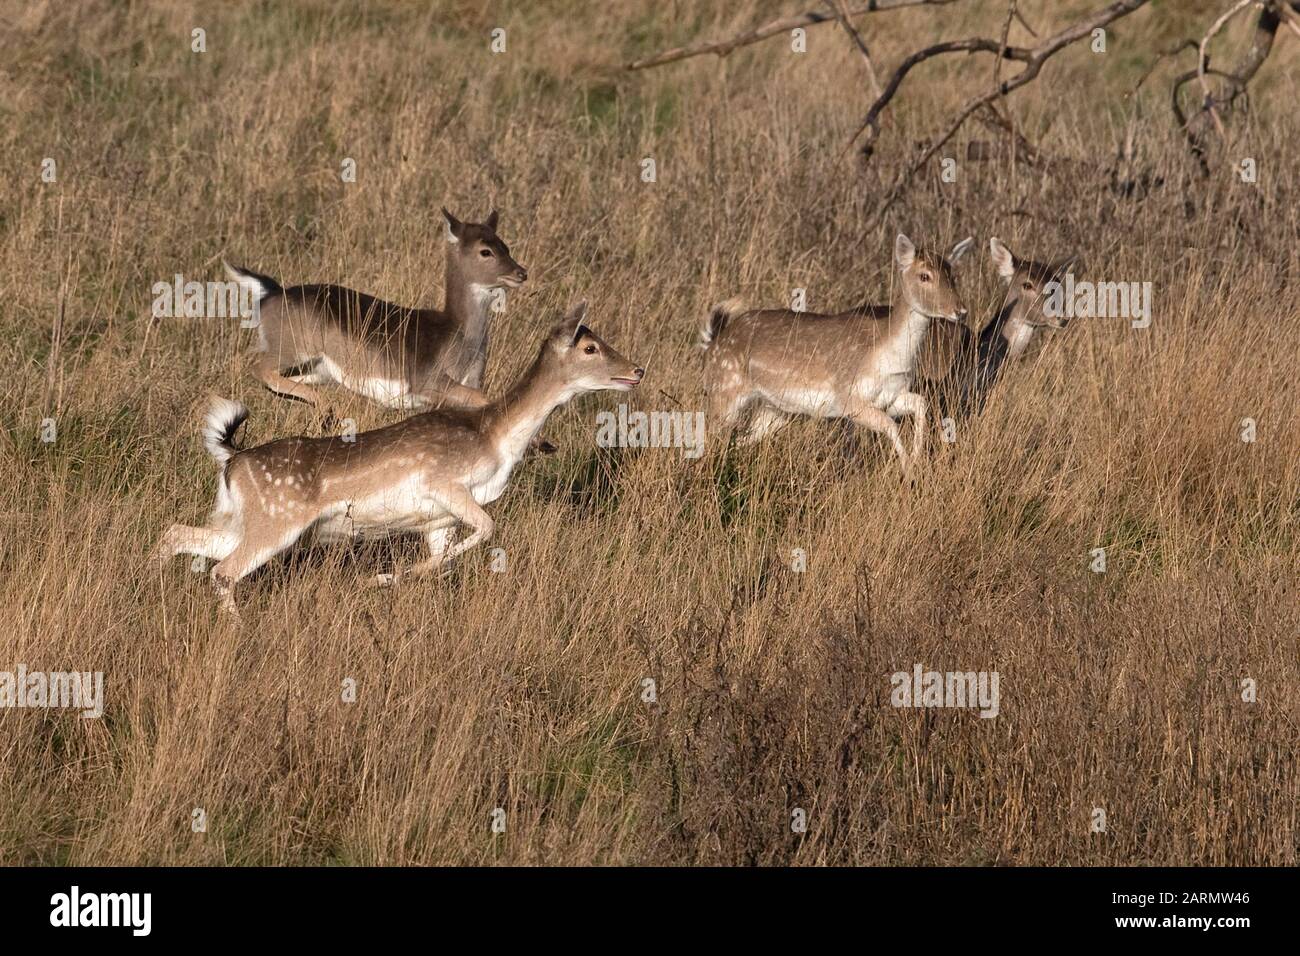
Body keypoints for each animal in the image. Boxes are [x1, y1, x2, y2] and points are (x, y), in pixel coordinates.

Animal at [154, 304, 644, 618]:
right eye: (590, 348)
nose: (637, 369)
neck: (495, 439)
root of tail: (232, 461)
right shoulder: (443, 482)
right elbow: (489, 526)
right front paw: (379, 579)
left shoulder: (437, 521)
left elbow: (447, 559)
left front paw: (385, 580)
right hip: (277, 521)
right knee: (223, 571)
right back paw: (236, 628)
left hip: (241, 521)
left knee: (177, 534)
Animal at [225, 208, 527, 418]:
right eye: (485, 251)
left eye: (506, 246)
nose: (521, 273)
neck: (457, 338)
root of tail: (270, 293)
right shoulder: (427, 381)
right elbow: (487, 399)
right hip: (291, 347)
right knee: (256, 367)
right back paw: (327, 409)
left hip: (317, 368)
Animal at [699, 233, 973, 475]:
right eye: (924, 276)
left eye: (952, 275)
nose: (960, 311)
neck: (887, 354)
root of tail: (714, 342)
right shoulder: (847, 396)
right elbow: (889, 425)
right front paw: (908, 471)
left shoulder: (892, 395)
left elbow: (920, 404)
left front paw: (916, 460)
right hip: (724, 390)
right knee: (708, 437)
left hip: (775, 410)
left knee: (739, 439)